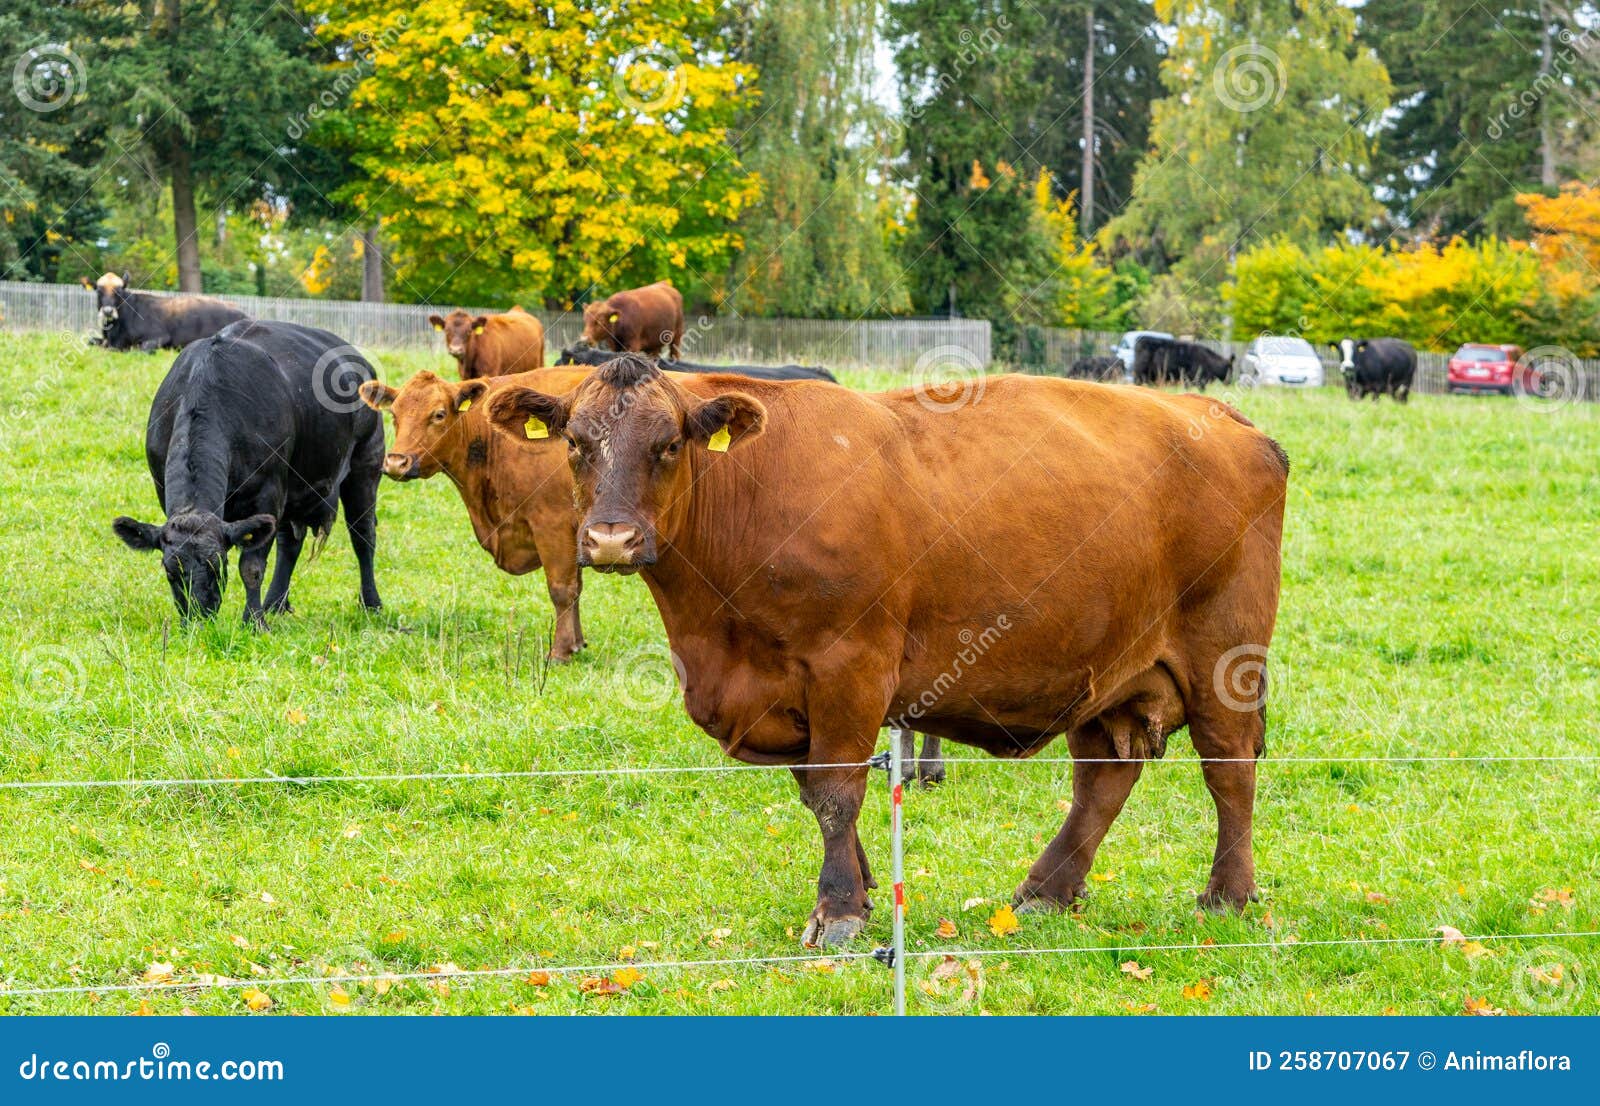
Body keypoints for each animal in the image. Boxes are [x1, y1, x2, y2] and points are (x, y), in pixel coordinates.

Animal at [84, 272, 249, 352]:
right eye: (98, 291)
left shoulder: (160, 336)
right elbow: (91, 341)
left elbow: (138, 349)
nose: (107, 311)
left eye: (119, 292)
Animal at [112, 320, 384, 625]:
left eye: (218, 565)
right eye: (171, 572)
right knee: (290, 543)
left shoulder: (267, 494)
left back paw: (371, 604)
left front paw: (254, 622)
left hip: (366, 464)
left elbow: (252, 566)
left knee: (363, 535)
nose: (198, 618)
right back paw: (275, 604)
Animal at [484, 354, 1288, 946]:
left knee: (1229, 770)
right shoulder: (780, 692)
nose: (610, 539)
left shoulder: (851, 666)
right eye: (576, 444)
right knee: (1103, 781)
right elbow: (813, 789)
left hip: (1223, 659)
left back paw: (1227, 895)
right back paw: (1044, 893)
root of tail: (1225, 419)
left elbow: (838, 789)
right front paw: (864, 889)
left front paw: (837, 911)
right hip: (1106, 668)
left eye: (669, 444)